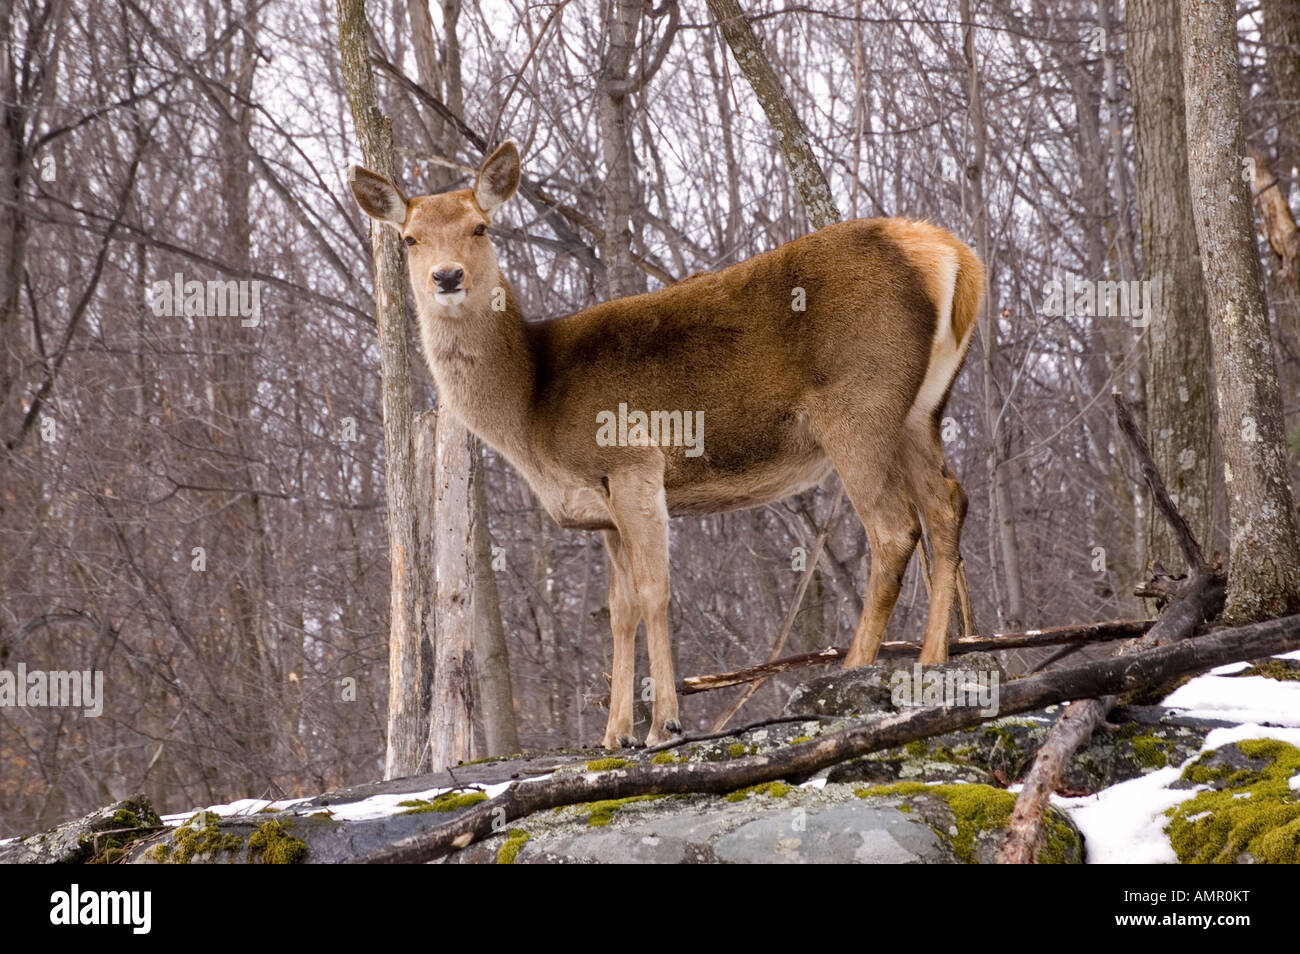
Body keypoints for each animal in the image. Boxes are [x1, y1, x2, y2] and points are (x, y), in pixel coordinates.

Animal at [348, 141, 984, 748]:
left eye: (480, 227)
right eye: (409, 238)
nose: (447, 276)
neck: (532, 405)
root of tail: (951, 254)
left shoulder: (632, 461)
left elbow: (655, 591)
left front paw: (664, 725)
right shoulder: (601, 510)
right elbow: (620, 609)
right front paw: (614, 733)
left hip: (859, 402)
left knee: (894, 527)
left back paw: (850, 669)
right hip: (922, 409)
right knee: (947, 503)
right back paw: (933, 664)